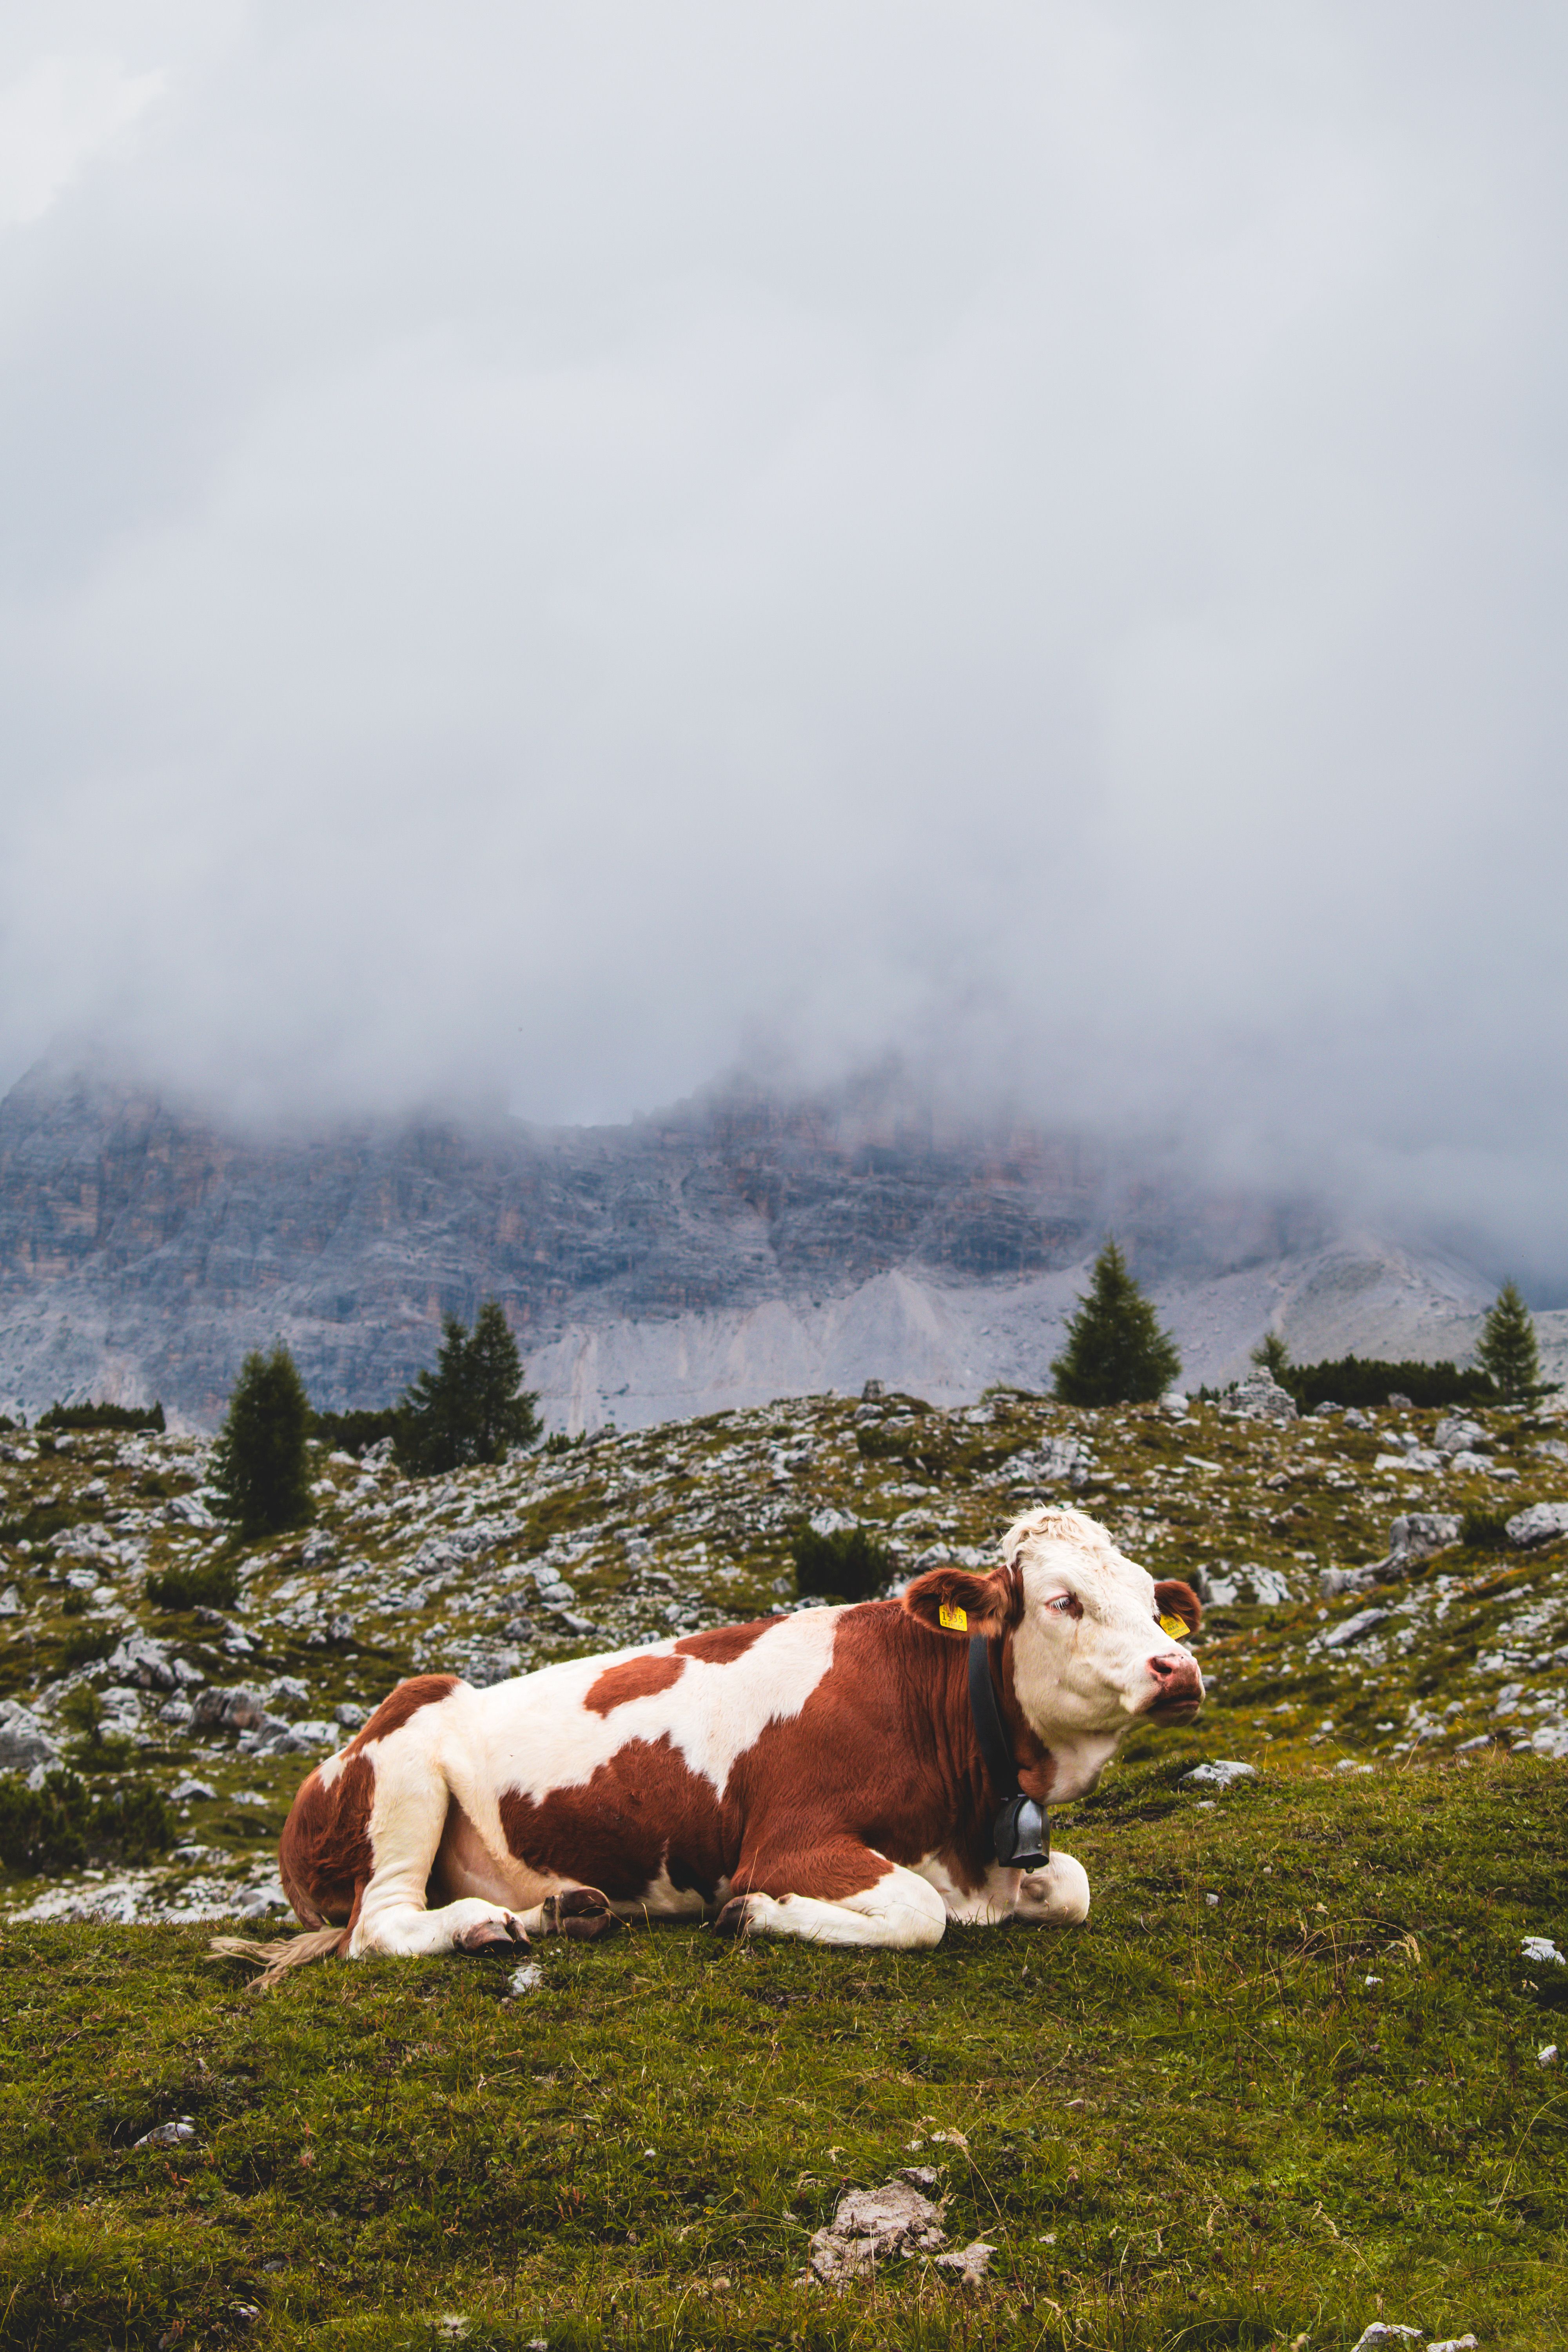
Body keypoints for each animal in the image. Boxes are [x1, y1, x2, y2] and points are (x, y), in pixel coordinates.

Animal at [216, 1506, 1202, 1987]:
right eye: (1064, 1601)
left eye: (1150, 1601)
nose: (1178, 1667)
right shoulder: (790, 1838)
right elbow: (917, 1914)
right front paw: (752, 1914)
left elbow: (1071, 1887)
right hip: (406, 1762)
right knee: (378, 1926)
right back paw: (479, 1929)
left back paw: (558, 1912)